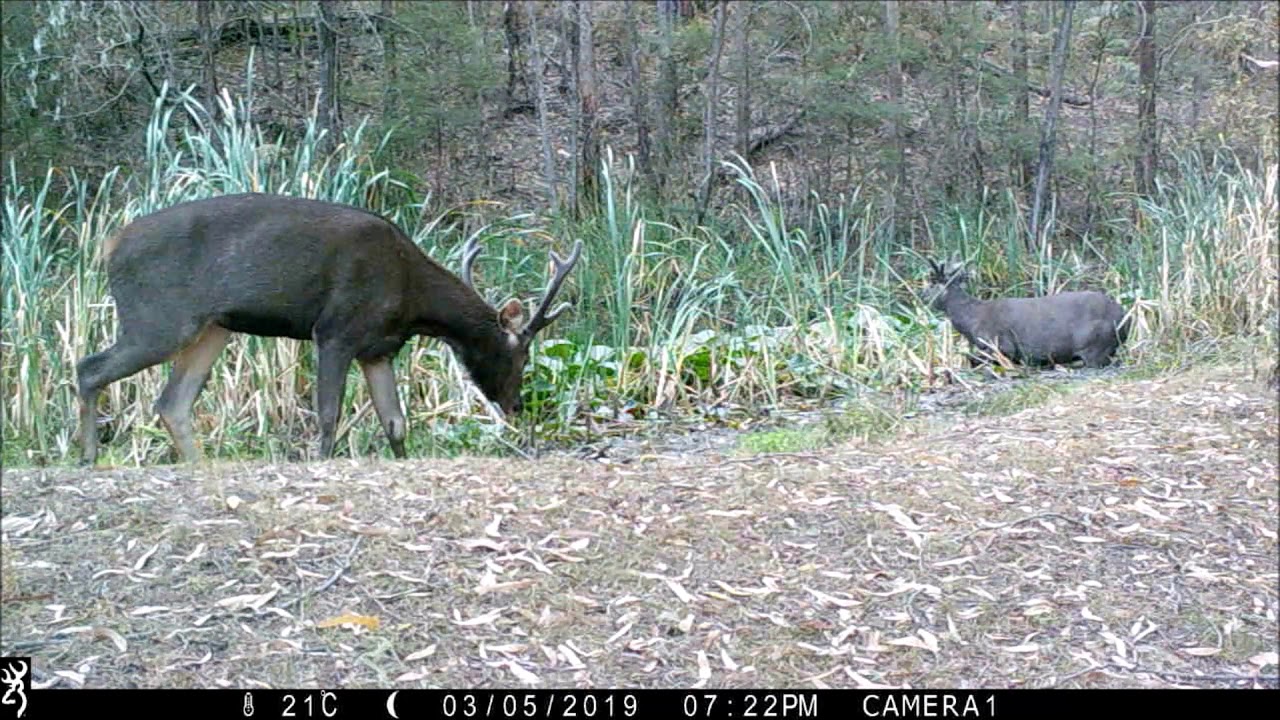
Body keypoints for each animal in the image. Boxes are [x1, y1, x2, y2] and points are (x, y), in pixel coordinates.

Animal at [75, 192, 583, 466]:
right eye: (520, 353)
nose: (516, 404)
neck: (412, 298)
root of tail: (108, 245)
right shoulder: (336, 330)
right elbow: (328, 414)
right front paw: (322, 461)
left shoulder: (378, 348)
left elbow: (395, 421)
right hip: (158, 317)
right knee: (89, 367)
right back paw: (89, 456)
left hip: (212, 327)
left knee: (172, 402)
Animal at [922, 258, 1131, 369]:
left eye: (932, 284)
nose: (922, 296)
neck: (972, 321)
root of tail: (1125, 316)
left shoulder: (1000, 343)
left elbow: (973, 358)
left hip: (1094, 343)